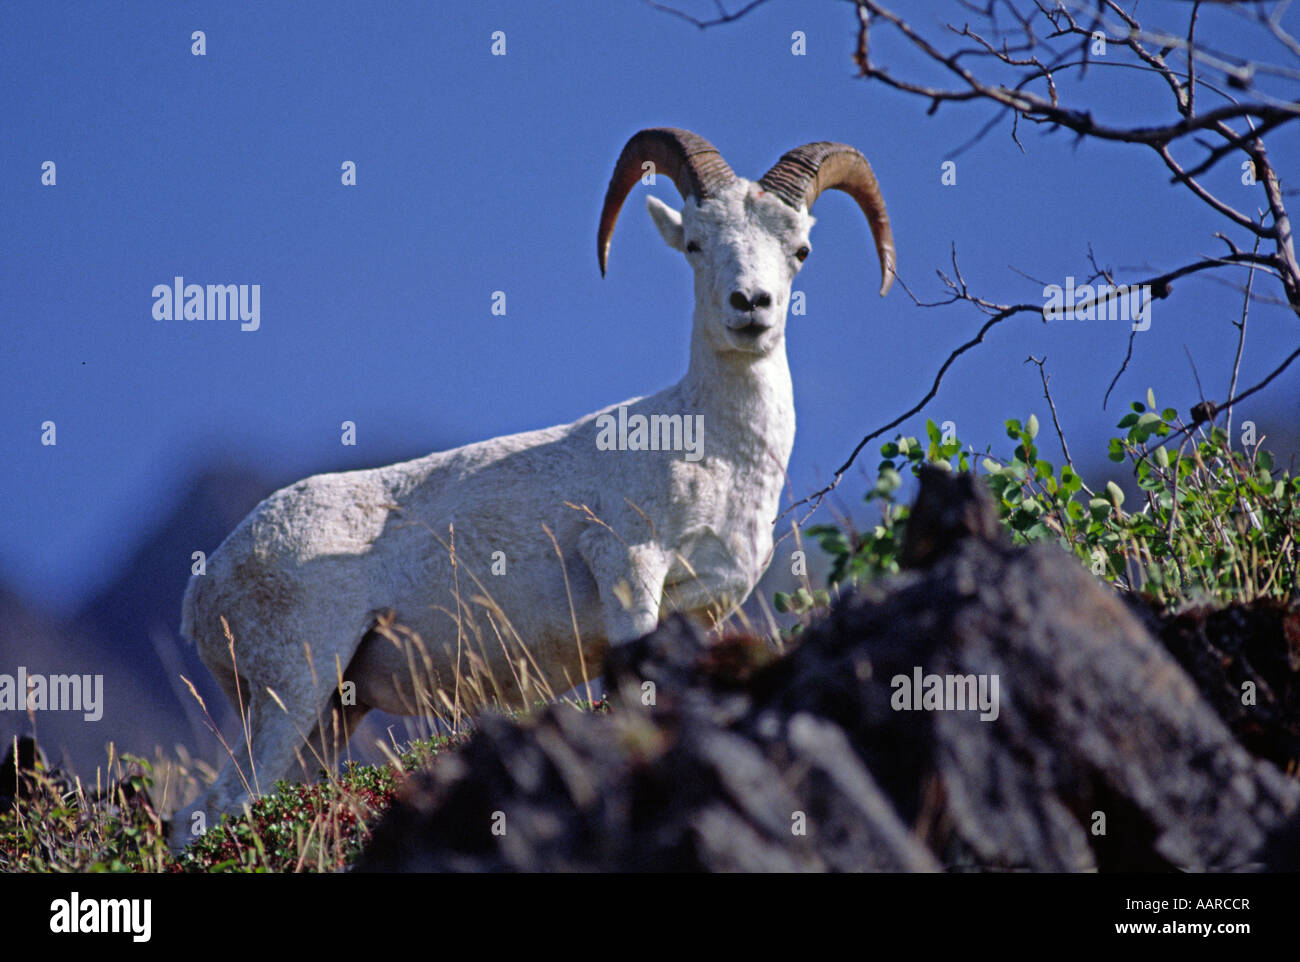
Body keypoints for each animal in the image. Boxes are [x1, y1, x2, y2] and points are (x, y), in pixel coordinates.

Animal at [168, 127, 894, 850]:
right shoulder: (630, 573)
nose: (751, 307)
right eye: (694, 243)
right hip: (294, 686)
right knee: (217, 807)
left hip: (332, 713)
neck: (714, 453)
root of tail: (204, 587)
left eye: (799, 250)